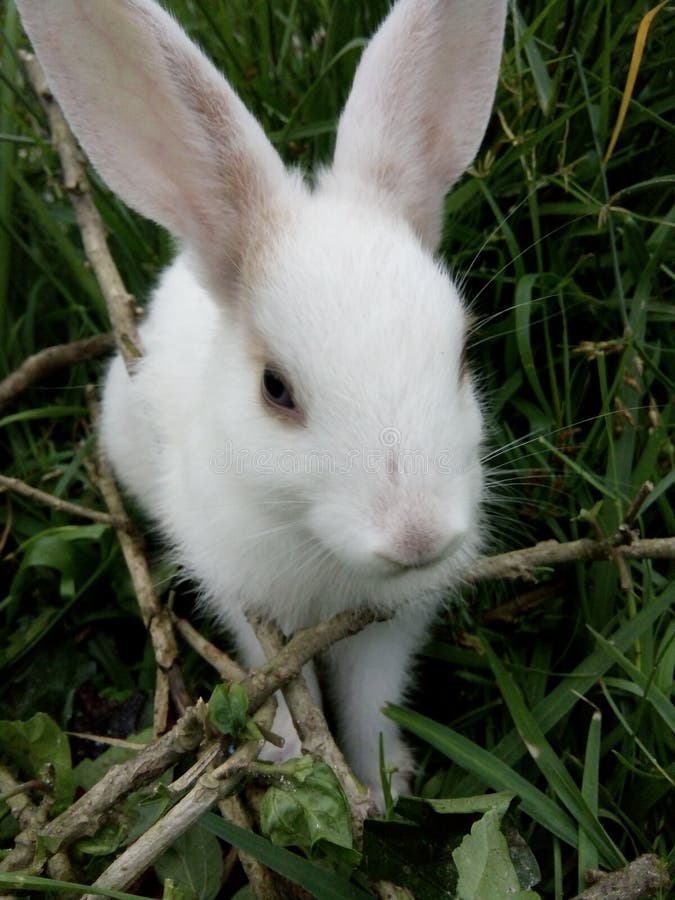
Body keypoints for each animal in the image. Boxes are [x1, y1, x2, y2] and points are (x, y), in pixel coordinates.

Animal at [18, 0, 507, 806]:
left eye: (464, 353)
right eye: (275, 389)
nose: (417, 538)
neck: (323, 550)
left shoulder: (389, 626)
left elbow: (372, 696)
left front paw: (385, 783)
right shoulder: (248, 602)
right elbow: (274, 684)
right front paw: (291, 759)